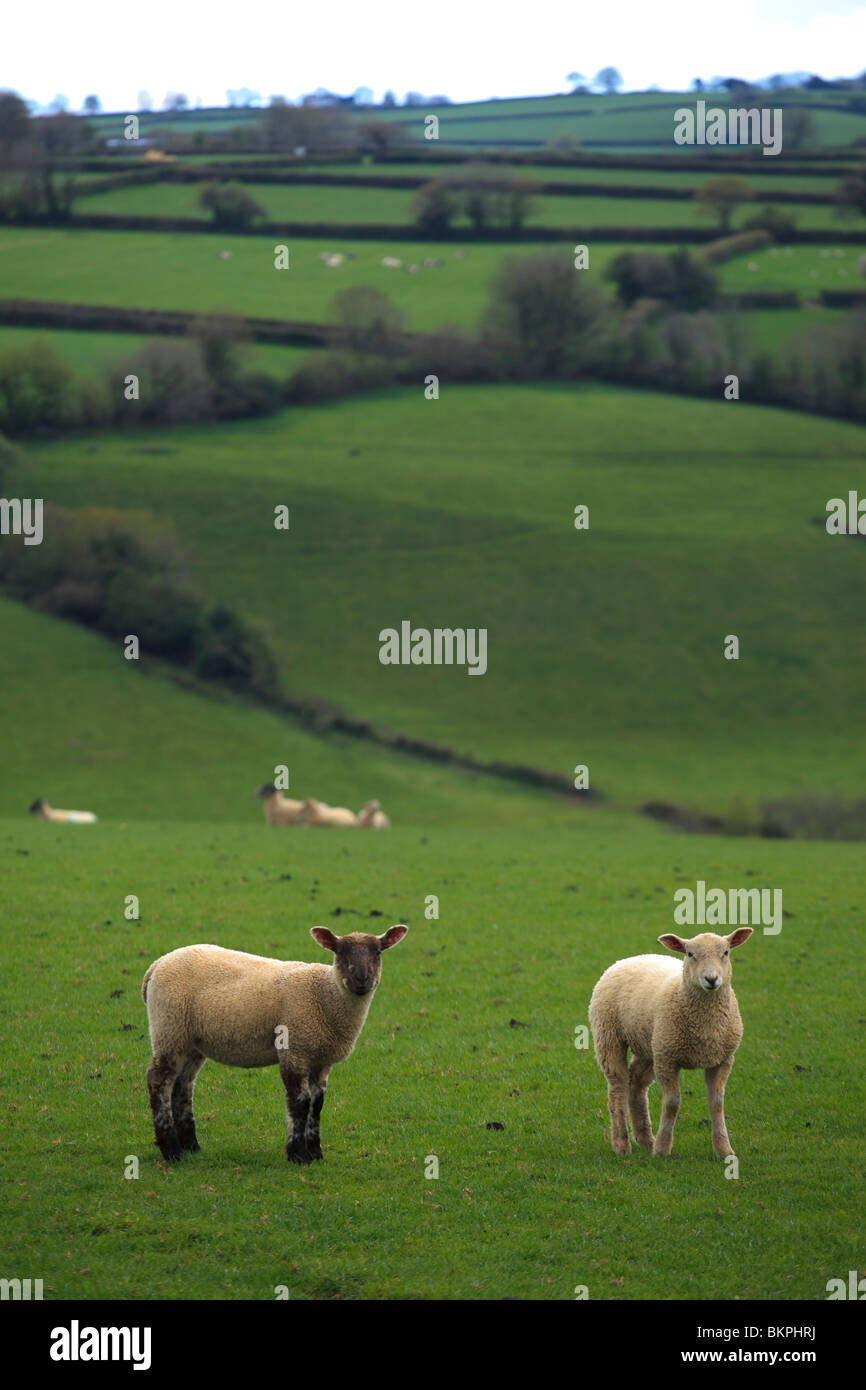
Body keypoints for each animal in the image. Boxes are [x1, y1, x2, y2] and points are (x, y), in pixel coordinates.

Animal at [142, 925, 408, 1163]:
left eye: (378, 952)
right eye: (340, 952)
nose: (362, 980)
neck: (325, 995)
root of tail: (157, 965)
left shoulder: (321, 1060)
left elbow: (317, 1104)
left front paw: (316, 1153)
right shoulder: (295, 1049)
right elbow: (300, 1103)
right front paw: (297, 1154)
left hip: (191, 1041)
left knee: (182, 1085)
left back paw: (191, 1146)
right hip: (169, 1027)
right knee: (159, 1081)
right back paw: (171, 1151)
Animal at [588, 929, 752, 1159]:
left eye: (726, 952)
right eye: (690, 954)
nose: (711, 979)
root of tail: (630, 959)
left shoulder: (722, 1060)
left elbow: (716, 1103)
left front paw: (724, 1150)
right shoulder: (667, 1060)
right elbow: (672, 1102)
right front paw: (662, 1149)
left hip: (650, 1045)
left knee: (636, 1081)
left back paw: (645, 1138)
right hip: (610, 1036)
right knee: (618, 1087)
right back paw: (622, 1144)